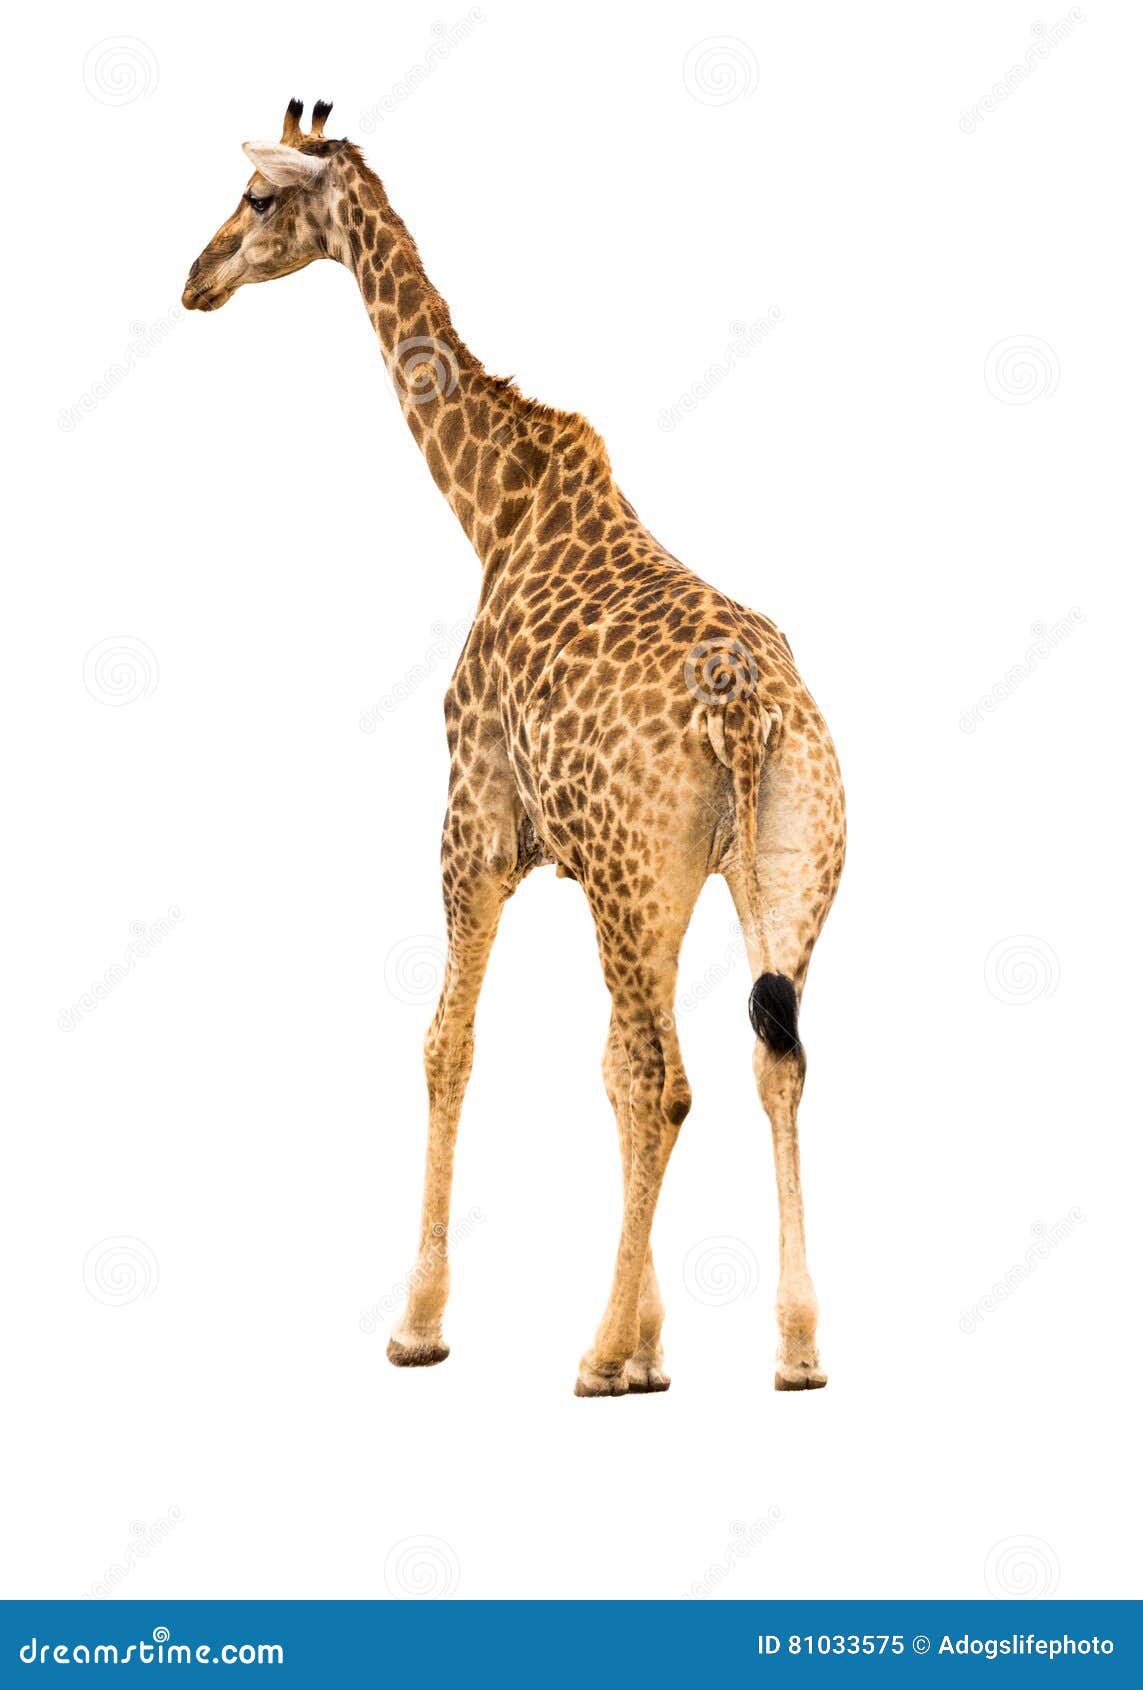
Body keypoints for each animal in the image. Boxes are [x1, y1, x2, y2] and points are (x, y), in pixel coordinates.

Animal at [183, 100, 846, 1395]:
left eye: (257, 200)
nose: (195, 281)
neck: (491, 507)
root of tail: (747, 712)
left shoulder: (476, 824)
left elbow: (449, 1045)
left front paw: (424, 1325)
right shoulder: (610, 871)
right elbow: (596, 1069)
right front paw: (656, 1346)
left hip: (644, 884)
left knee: (668, 1079)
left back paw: (593, 1354)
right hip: (779, 872)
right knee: (767, 1057)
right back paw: (793, 1349)